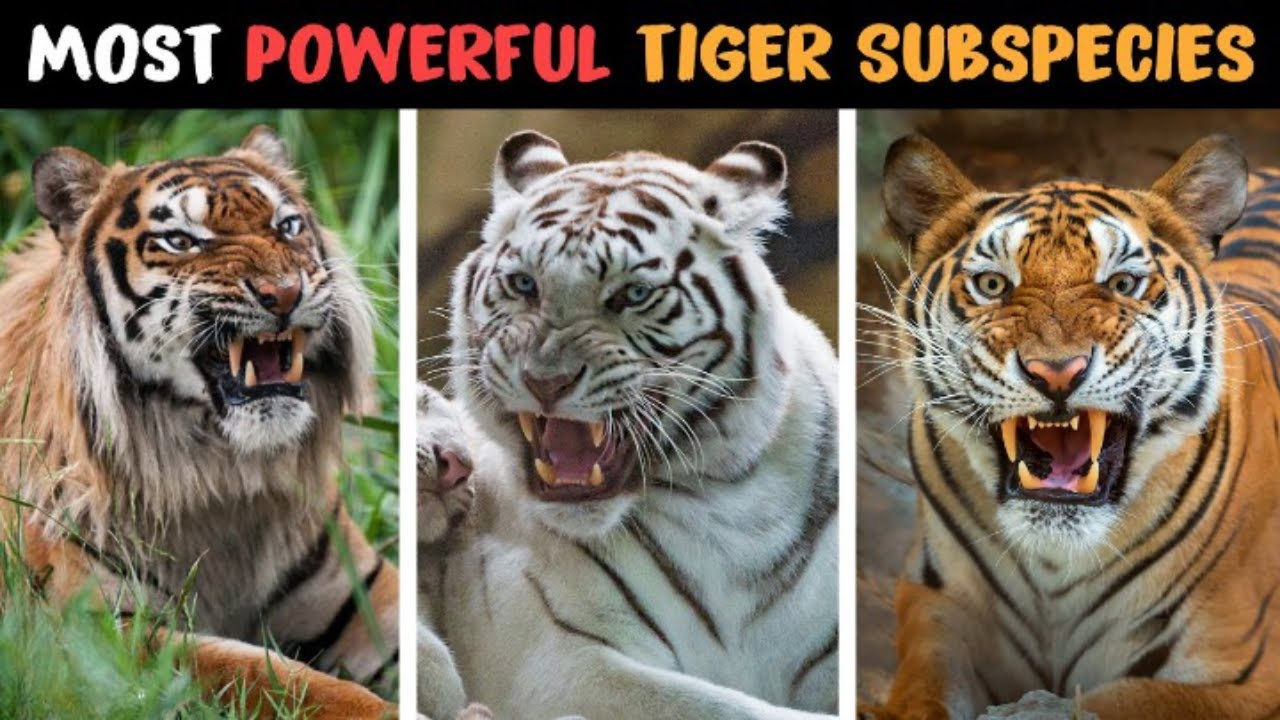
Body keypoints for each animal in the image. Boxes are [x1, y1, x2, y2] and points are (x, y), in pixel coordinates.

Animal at [0, 127, 401, 719]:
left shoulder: (365, 594)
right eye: (180, 241)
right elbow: (281, 679)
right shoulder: (95, 635)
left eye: (287, 226)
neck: (222, 479)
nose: (285, 292)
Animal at [421, 130, 839, 719]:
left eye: (633, 295)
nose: (545, 381)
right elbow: (724, 707)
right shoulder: (558, 663)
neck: (730, 501)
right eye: (525, 285)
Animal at [864, 133, 1280, 719]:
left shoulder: (1242, 681)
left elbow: (1115, 700)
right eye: (992, 284)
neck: (1056, 566)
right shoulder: (941, 614)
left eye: (1123, 283)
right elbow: (924, 695)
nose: (1055, 372)